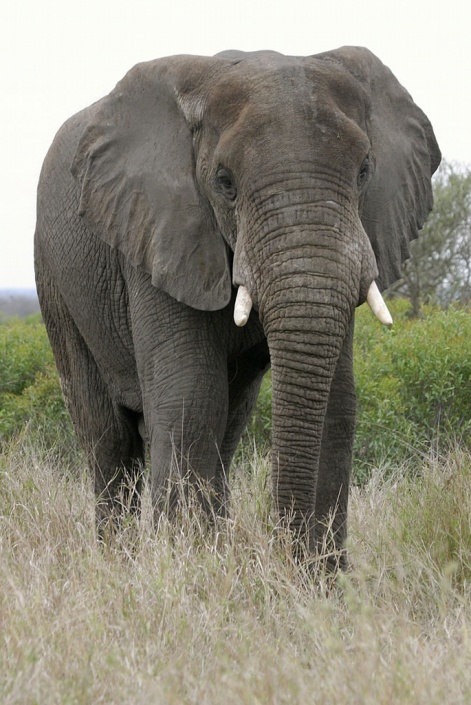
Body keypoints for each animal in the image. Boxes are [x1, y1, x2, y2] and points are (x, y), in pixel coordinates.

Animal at [34, 46, 440, 565]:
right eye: (224, 182)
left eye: (365, 171)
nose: (282, 555)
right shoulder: (161, 231)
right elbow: (191, 397)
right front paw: (187, 567)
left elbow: (337, 403)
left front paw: (318, 578)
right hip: (54, 277)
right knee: (108, 437)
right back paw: (116, 561)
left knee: (227, 428)